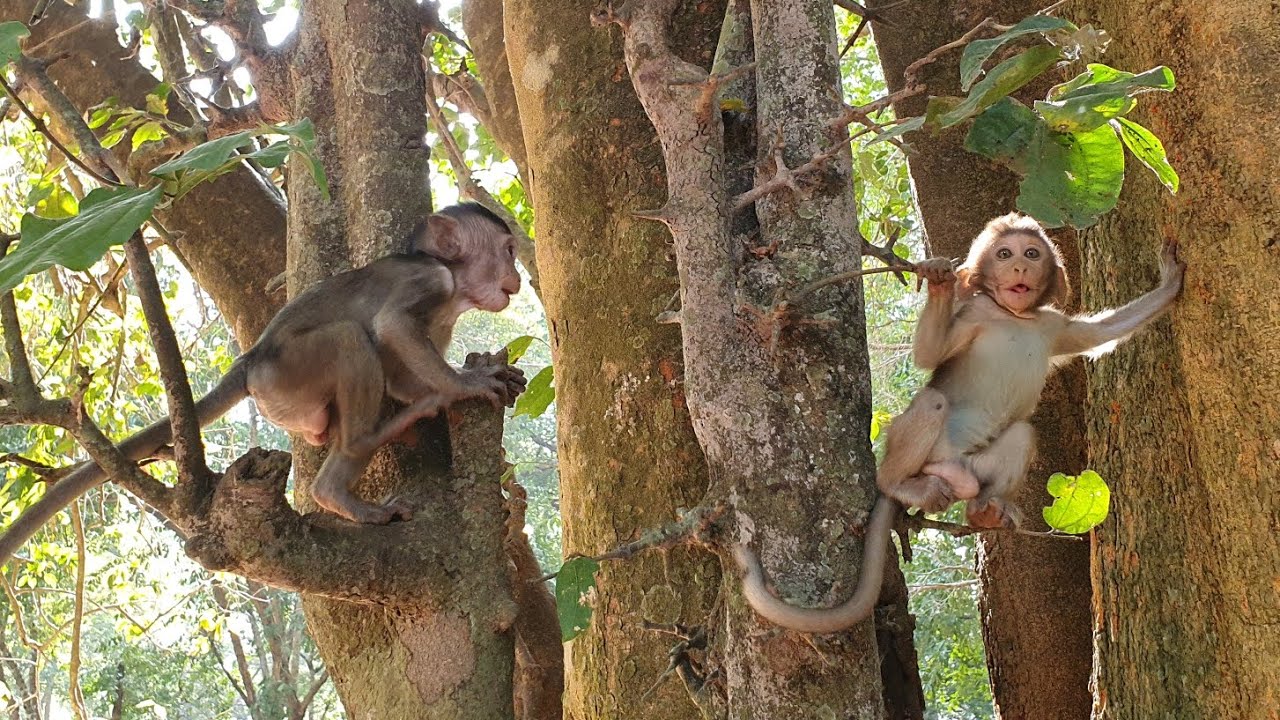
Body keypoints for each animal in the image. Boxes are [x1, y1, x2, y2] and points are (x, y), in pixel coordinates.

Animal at [0, 202, 527, 565]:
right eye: (507, 250)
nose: (519, 278)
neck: (454, 289)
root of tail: (250, 360)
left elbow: (398, 371)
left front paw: (456, 385)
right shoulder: (430, 280)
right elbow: (392, 326)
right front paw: (461, 385)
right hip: (287, 376)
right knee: (349, 337)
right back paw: (354, 459)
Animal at [735, 213, 1186, 633]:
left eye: (1031, 253)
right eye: (1004, 255)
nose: (1019, 268)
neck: (1014, 316)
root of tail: (948, 470)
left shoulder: (1051, 325)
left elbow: (1100, 335)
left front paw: (1170, 282)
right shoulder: (975, 314)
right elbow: (930, 355)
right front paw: (938, 281)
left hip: (972, 468)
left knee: (1021, 435)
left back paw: (982, 511)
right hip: (924, 451)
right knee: (932, 402)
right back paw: (898, 482)